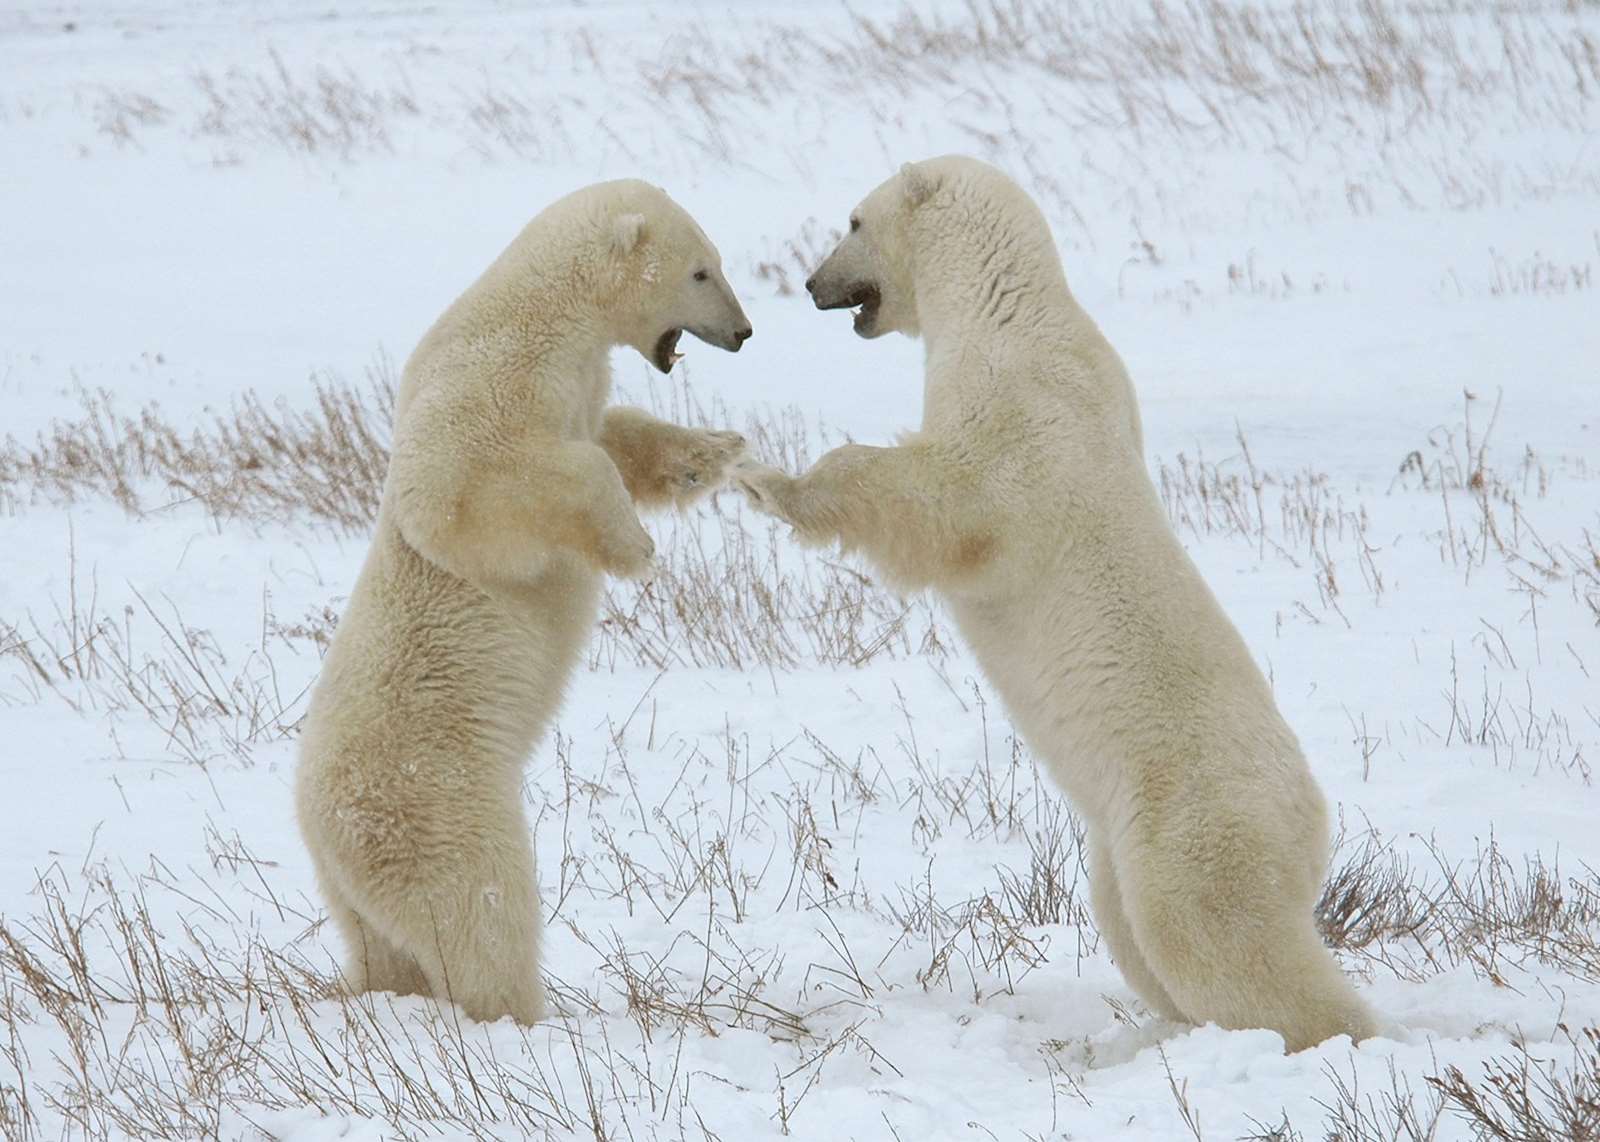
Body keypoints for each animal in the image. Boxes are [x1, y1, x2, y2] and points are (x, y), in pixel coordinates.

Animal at [295, 179, 752, 1026]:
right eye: (702, 270)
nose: (742, 331)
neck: (542, 317)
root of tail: (321, 825)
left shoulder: (578, 387)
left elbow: (613, 438)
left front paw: (713, 452)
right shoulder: (481, 391)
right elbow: (469, 494)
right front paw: (635, 548)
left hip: (351, 887)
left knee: (387, 947)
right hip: (438, 802)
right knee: (484, 913)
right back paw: (528, 1016)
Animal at [734, 156, 1374, 1053]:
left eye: (853, 222)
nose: (812, 283)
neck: (1006, 307)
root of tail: (1313, 821)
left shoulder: (1020, 415)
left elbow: (943, 499)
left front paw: (765, 479)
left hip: (1196, 818)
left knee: (1211, 935)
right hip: (1121, 835)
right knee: (1134, 929)